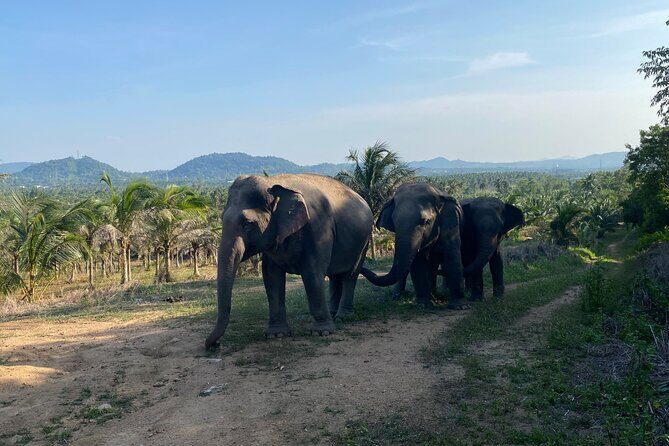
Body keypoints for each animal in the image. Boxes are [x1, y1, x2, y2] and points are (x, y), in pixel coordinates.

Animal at [204, 174, 373, 350]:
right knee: (335, 276)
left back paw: (343, 317)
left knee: (350, 275)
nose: (215, 345)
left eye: (248, 224)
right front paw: (276, 334)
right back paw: (333, 313)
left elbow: (312, 273)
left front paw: (322, 332)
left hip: (364, 242)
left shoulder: (318, 228)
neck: (273, 182)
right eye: (222, 219)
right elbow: (271, 276)